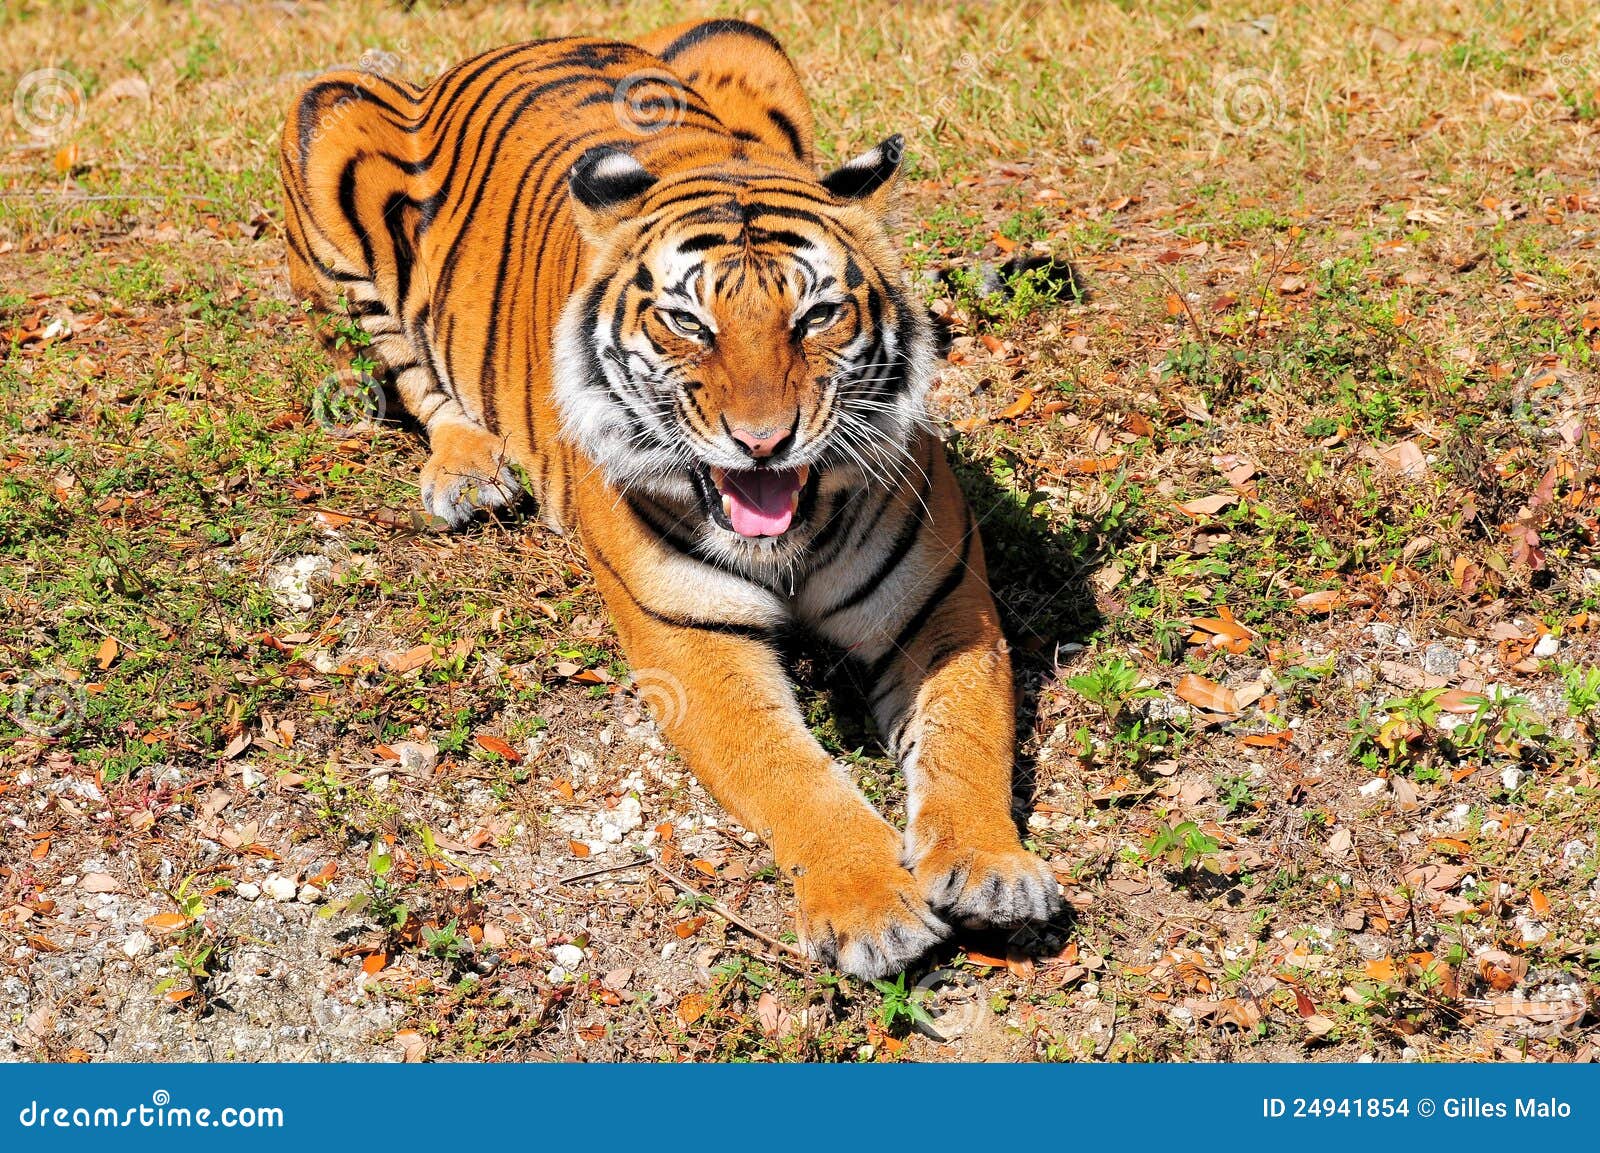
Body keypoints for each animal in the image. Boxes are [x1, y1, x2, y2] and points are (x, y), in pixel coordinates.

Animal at [279, 18, 1060, 978]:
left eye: (816, 317)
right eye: (689, 323)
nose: (763, 441)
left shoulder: (944, 608)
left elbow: (965, 741)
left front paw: (995, 869)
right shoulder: (694, 640)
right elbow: (792, 773)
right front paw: (872, 904)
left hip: (744, 35)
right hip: (325, 118)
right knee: (409, 370)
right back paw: (467, 471)